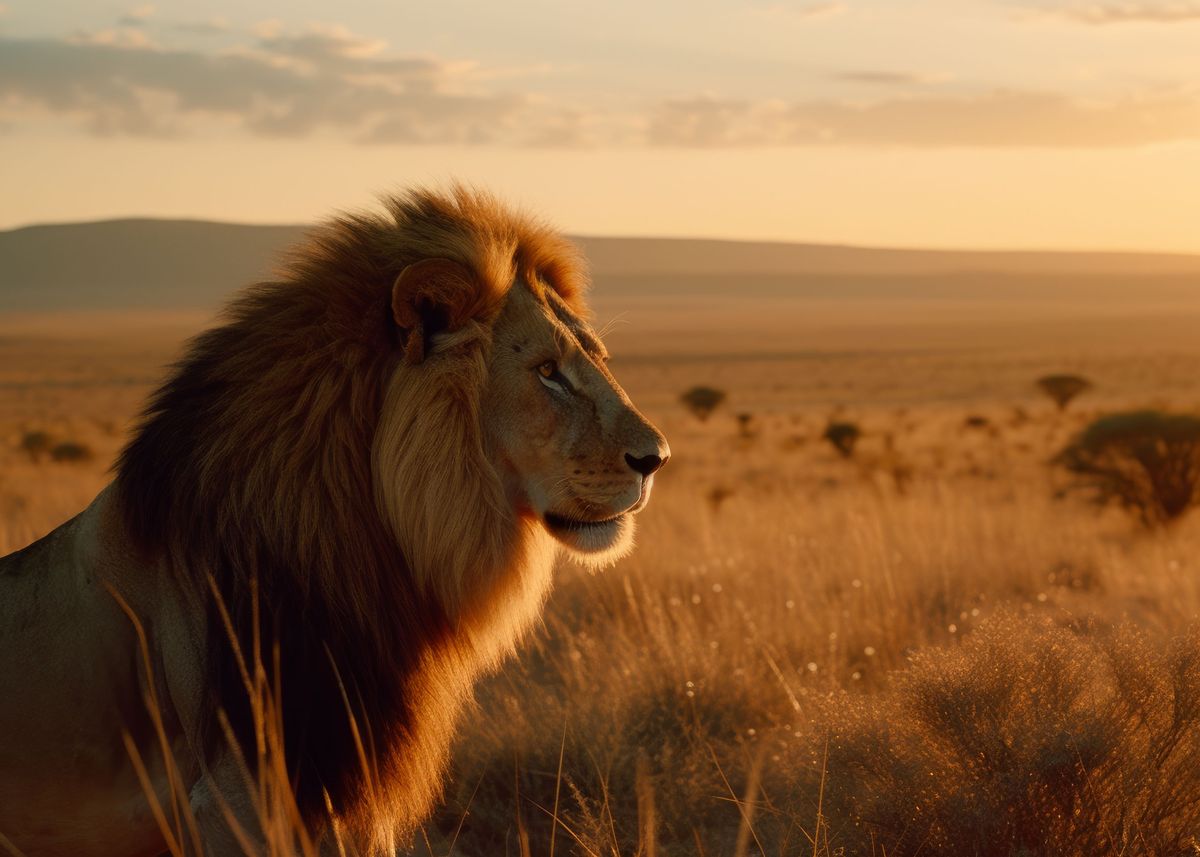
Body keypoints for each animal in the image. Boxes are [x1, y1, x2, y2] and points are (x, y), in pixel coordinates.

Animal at [0, 186, 669, 855]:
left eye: (596, 359)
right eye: (548, 371)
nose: (656, 458)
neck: (360, 542)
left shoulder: (355, 787)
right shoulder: (238, 792)